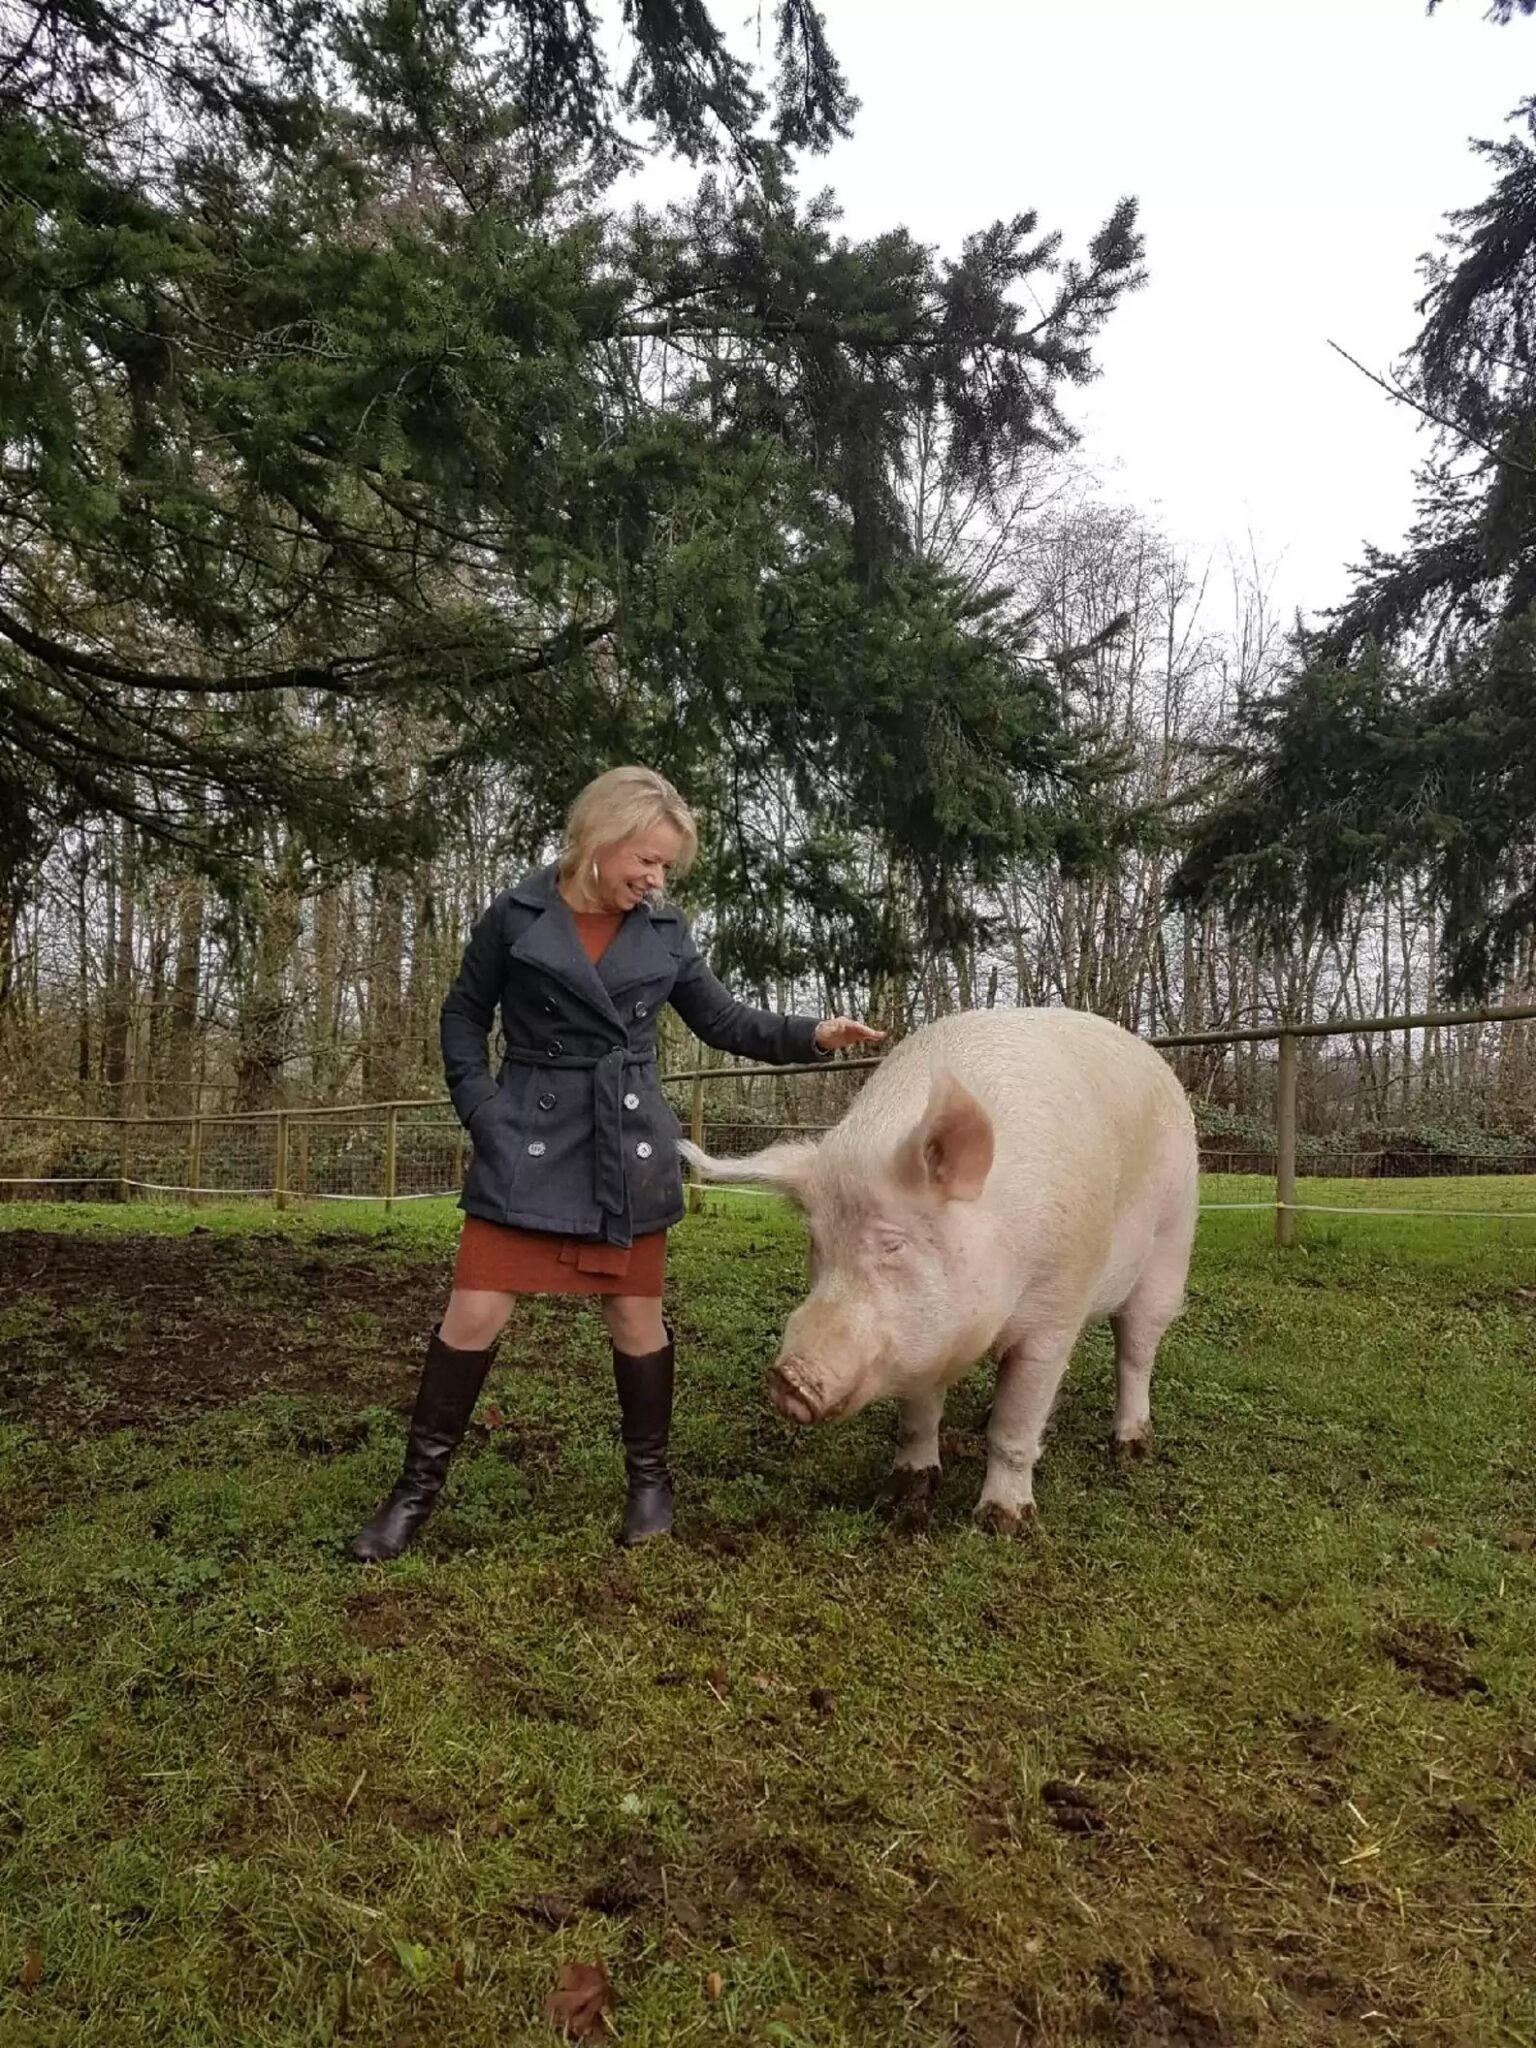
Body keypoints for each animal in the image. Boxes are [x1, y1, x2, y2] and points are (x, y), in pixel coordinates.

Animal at [681, 1007, 1199, 1530]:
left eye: (893, 1244)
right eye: (816, 1242)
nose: (788, 1380)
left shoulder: (1056, 1309)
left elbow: (1015, 1425)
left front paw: (1002, 1522)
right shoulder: (923, 1339)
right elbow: (919, 1416)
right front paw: (900, 1503)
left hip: (1172, 1239)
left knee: (1135, 1351)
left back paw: (1132, 1450)